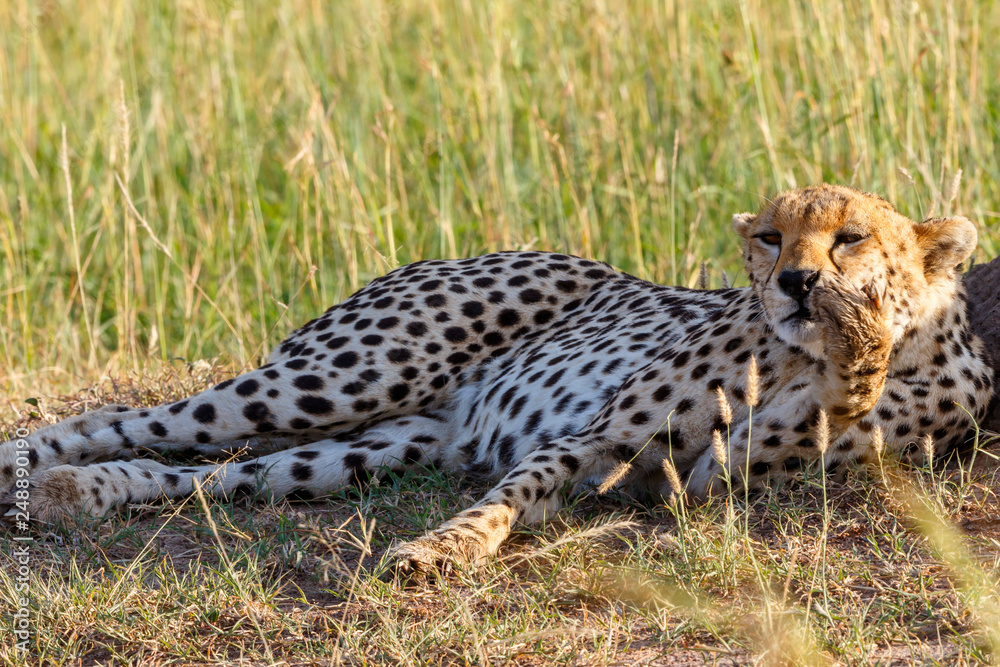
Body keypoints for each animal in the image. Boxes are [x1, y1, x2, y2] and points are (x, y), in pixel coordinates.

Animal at [0, 184, 992, 575]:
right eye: (772, 238)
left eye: (850, 236)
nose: (795, 283)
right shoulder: (601, 436)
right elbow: (510, 496)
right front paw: (441, 549)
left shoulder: (710, 471)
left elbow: (810, 415)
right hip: (343, 374)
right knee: (142, 415)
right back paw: (32, 462)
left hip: (380, 443)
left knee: (211, 476)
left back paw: (78, 490)